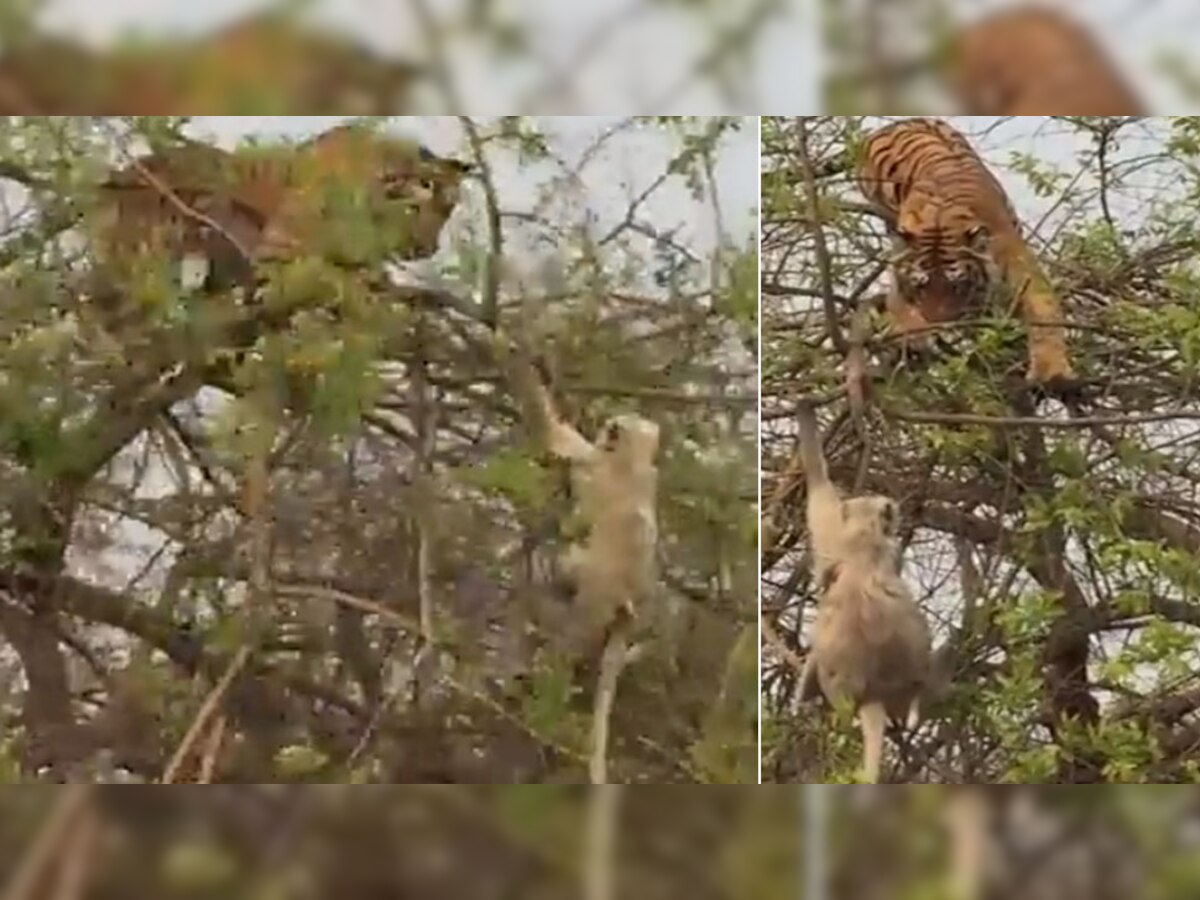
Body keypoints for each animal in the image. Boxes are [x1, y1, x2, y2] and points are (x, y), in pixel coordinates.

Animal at [856, 116, 1077, 392]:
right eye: (921, 287)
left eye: (957, 286)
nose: (941, 324)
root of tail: (897, 124)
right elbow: (899, 306)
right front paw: (915, 334)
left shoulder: (1019, 265)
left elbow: (1042, 310)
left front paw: (1052, 371)